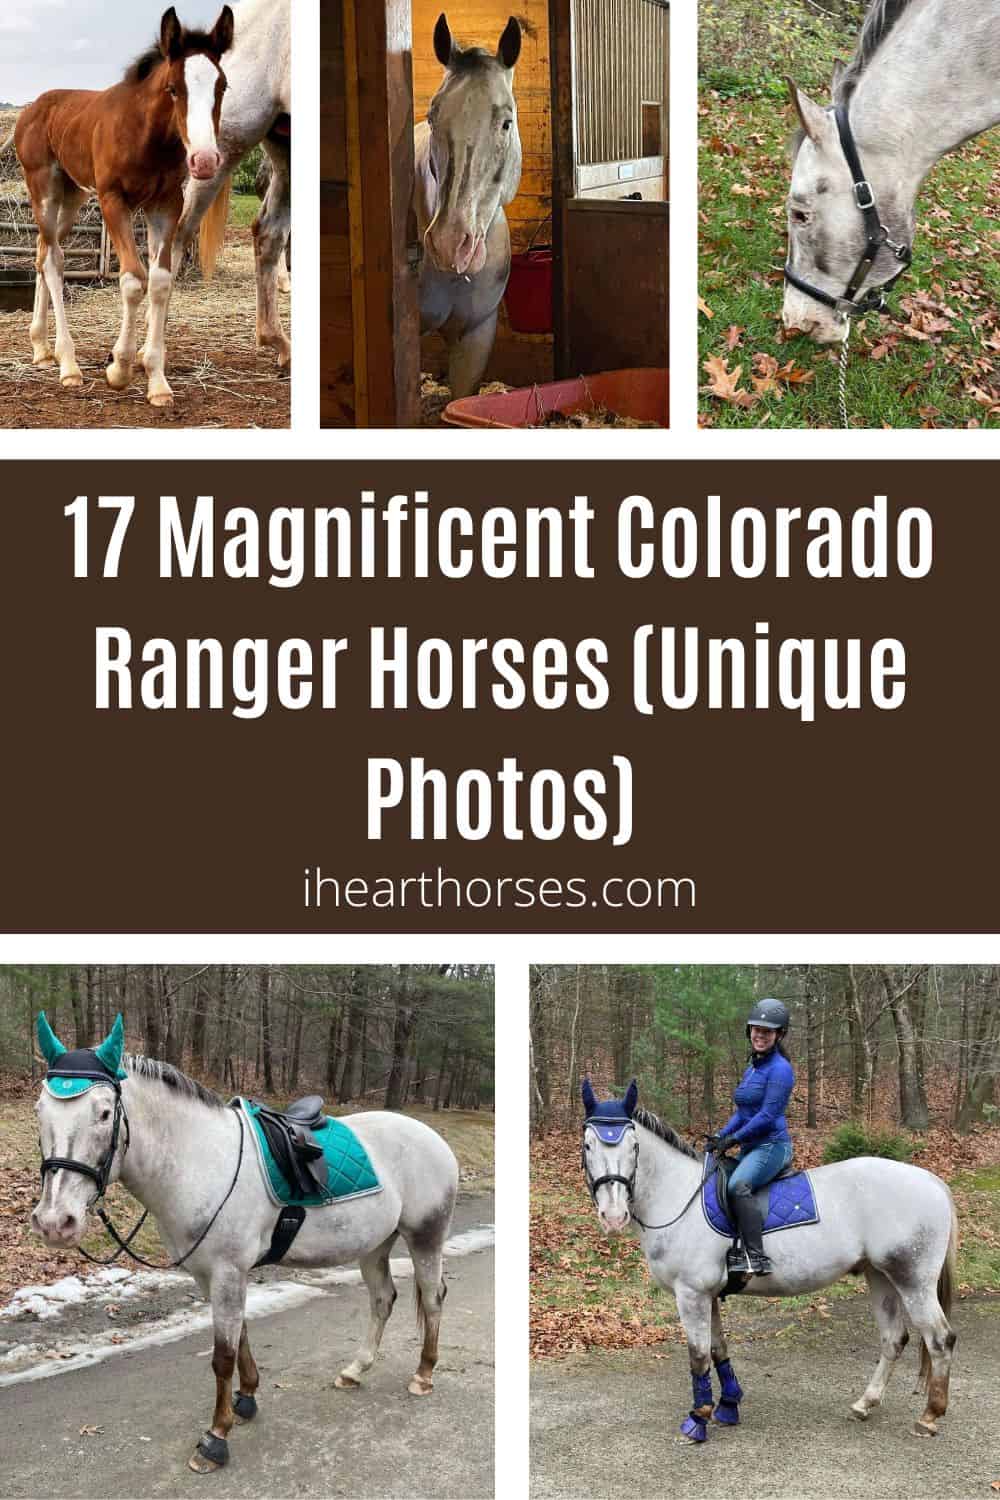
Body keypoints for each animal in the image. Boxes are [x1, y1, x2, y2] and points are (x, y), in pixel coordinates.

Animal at [4, 7, 233, 407]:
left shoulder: (166, 204)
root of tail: (33, 108)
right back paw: (68, 364)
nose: (205, 160)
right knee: (54, 260)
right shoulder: (113, 200)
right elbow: (132, 280)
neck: (146, 135)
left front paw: (157, 382)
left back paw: (41, 349)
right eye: (174, 89)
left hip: (73, 196)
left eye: (221, 87)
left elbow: (159, 281)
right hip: (43, 189)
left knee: (43, 251)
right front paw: (119, 369)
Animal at [31, 1013, 459, 1476]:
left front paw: (216, 1438)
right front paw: (247, 1398)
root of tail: (433, 1138)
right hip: (375, 1244)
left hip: (425, 1237)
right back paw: (355, 1370)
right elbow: (241, 1336)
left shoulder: (228, 1271)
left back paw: (423, 1374)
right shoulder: (211, 1275)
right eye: (40, 1110)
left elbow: (222, 1355)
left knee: (432, 1298)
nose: (55, 1222)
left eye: (105, 1113)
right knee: (382, 1300)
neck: (200, 1161)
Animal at [581, 1080, 958, 1442]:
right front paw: (728, 1406)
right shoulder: (708, 1294)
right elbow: (718, 1349)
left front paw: (698, 1420)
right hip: (879, 1275)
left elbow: (699, 1356)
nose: (613, 1216)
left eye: (634, 1146)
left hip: (913, 1280)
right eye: (587, 1146)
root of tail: (931, 1180)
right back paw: (865, 1403)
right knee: (894, 1339)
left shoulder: (691, 1294)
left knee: (940, 1340)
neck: (678, 1194)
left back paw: (929, 1417)